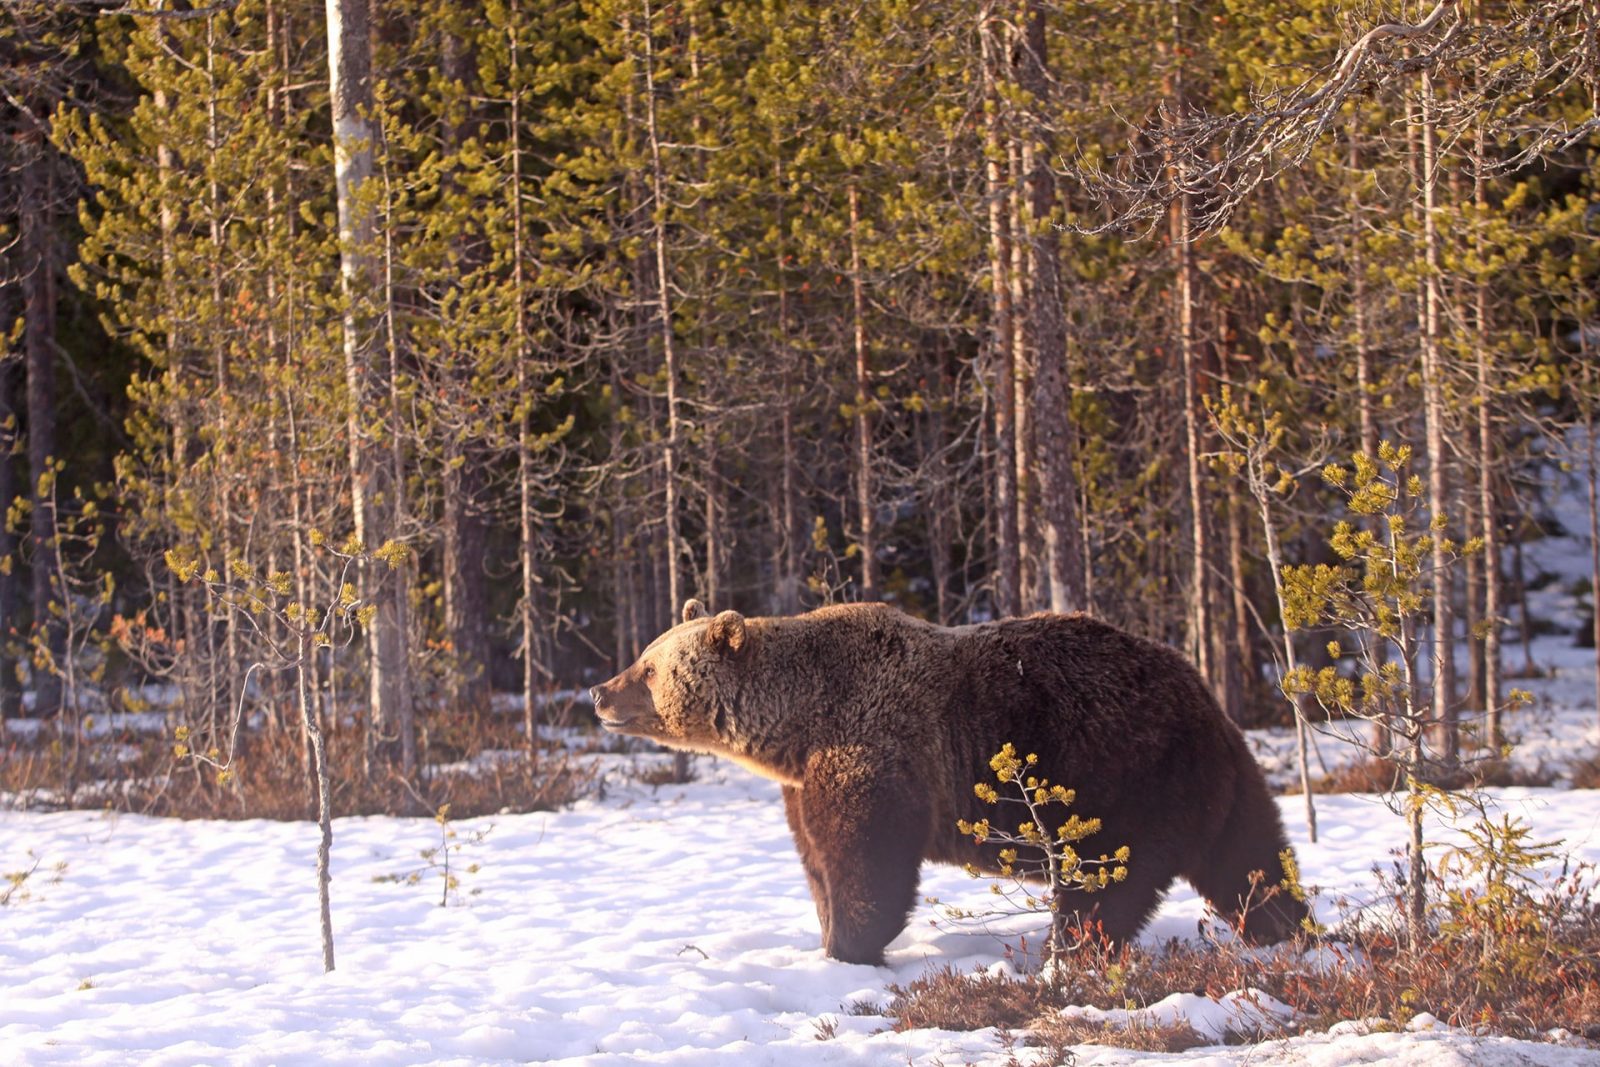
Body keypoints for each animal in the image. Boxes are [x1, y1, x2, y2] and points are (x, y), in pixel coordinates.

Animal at [590, 598, 1308, 966]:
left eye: (649, 666)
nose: (600, 692)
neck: (798, 724)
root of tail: (1201, 694)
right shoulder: (803, 781)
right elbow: (818, 861)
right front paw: (827, 935)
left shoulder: (878, 750)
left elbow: (868, 862)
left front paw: (851, 947)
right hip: (1212, 781)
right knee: (1250, 856)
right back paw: (1287, 930)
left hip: (1122, 776)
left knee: (1101, 885)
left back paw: (1067, 952)